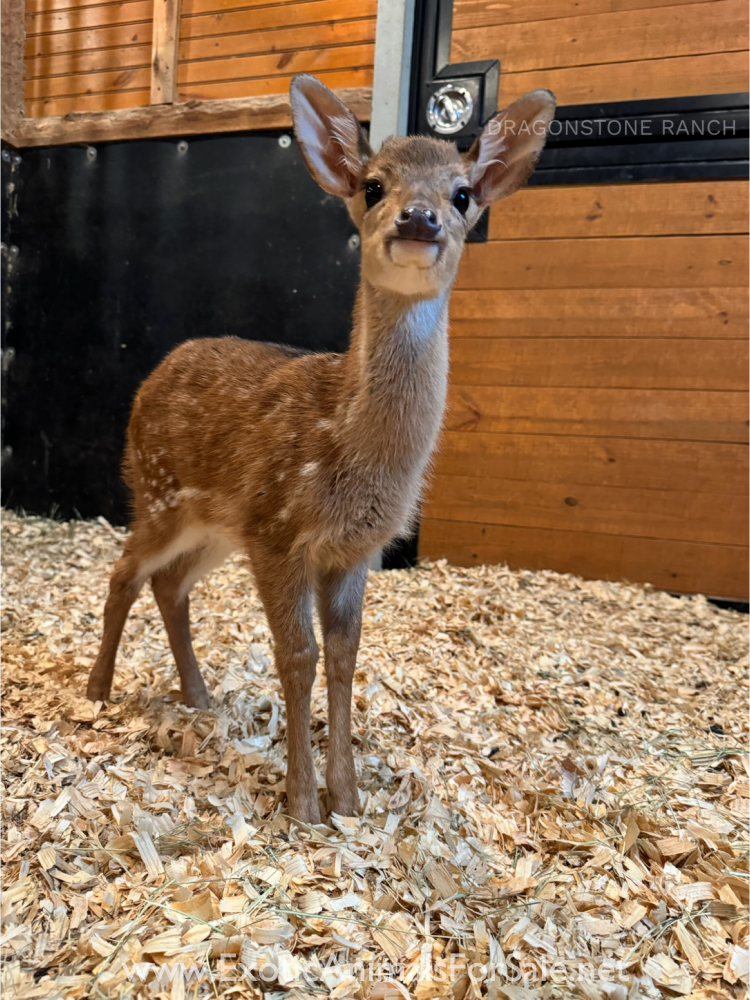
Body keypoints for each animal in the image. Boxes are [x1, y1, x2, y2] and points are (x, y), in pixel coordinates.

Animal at [86, 74, 555, 824]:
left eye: (462, 194)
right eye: (373, 185)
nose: (419, 218)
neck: (348, 447)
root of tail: (149, 381)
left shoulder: (351, 550)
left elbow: (343, 656)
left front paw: (350, 797)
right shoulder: (279, 530)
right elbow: (298, 654)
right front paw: (304, 802)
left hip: (215, 527)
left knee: (168, 583)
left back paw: (199, 696)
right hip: (157, 492)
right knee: (124, 573)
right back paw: (98, 692)